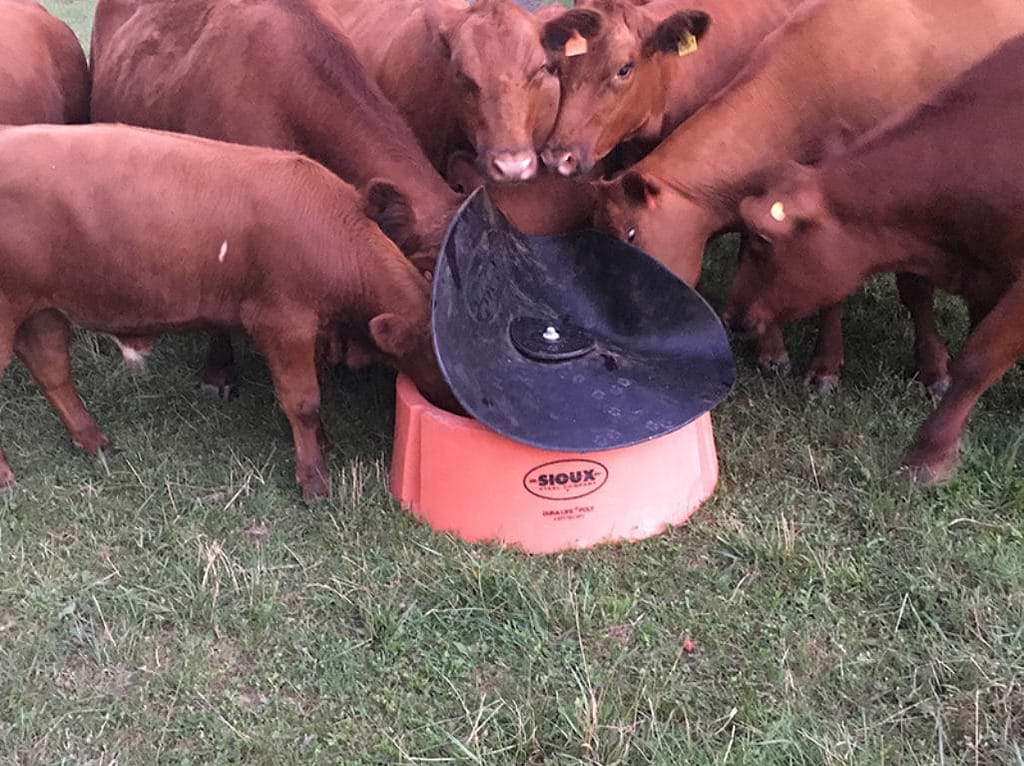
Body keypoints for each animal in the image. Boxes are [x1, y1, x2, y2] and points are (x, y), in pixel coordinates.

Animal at [0, 124, 456, 500]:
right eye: (439, 355)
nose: (460, 407)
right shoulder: (282, 321)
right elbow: (304, 400)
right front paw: (314, 481)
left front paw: (324, 446)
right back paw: (8, 474)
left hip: (41, 309)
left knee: (52, 369)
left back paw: (94, 440)